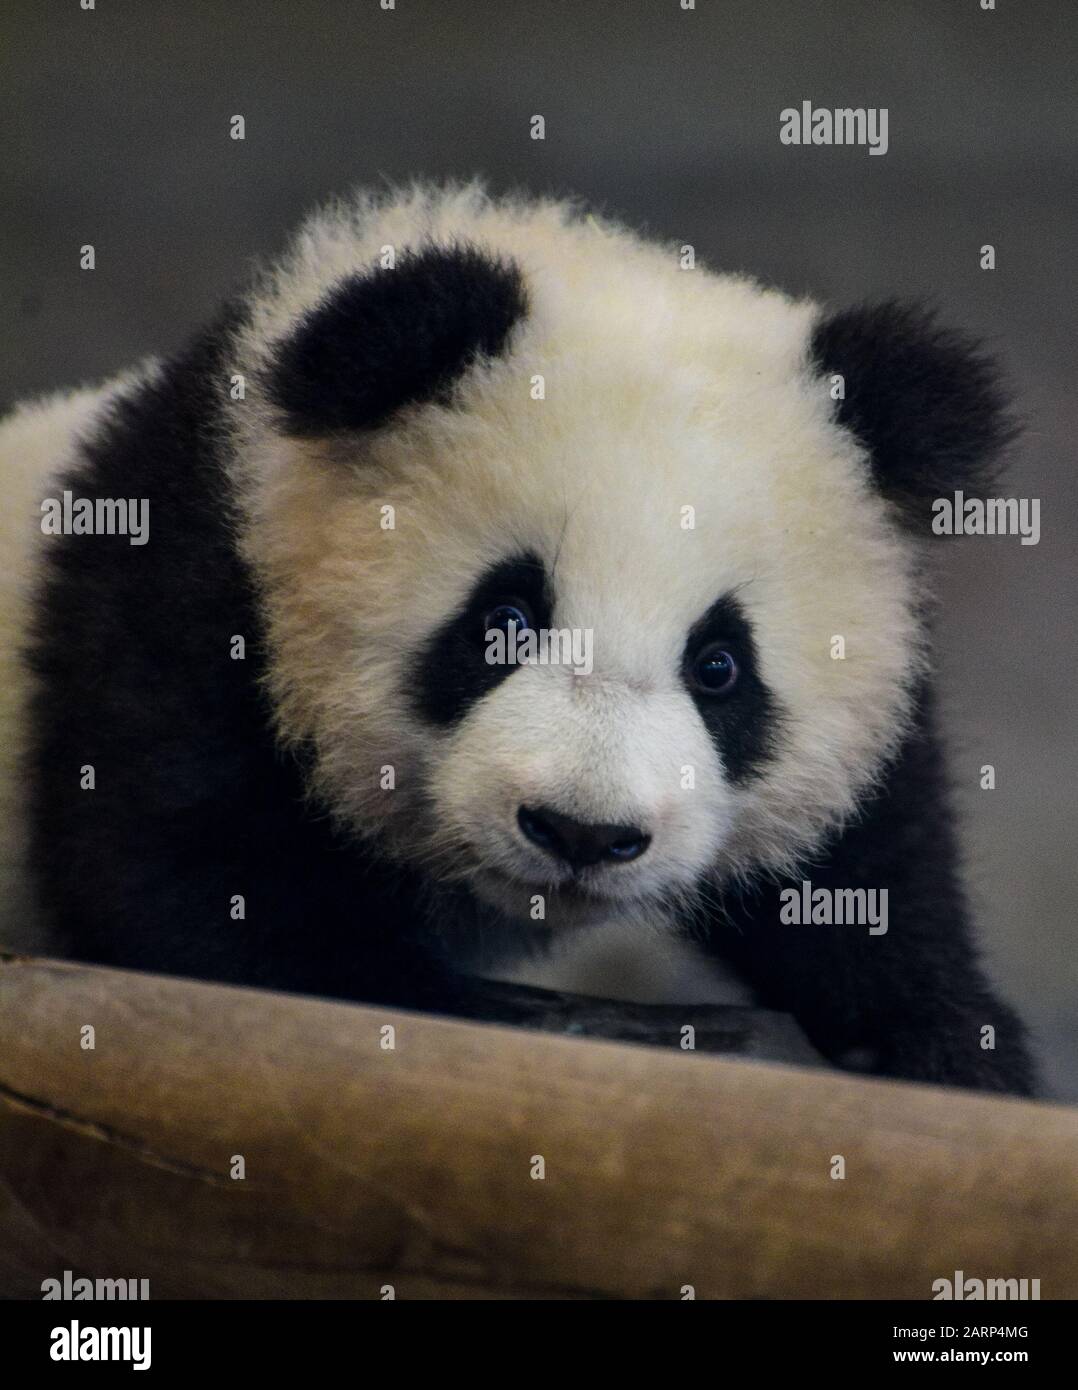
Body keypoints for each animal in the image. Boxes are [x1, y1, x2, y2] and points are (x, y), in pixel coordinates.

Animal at [0, 180, 1035, 1094]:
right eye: (504, 621)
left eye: (720, 667)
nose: (583, 831)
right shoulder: (182, 595)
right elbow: (195, 897)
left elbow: (872, 872)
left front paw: (947, 1046)